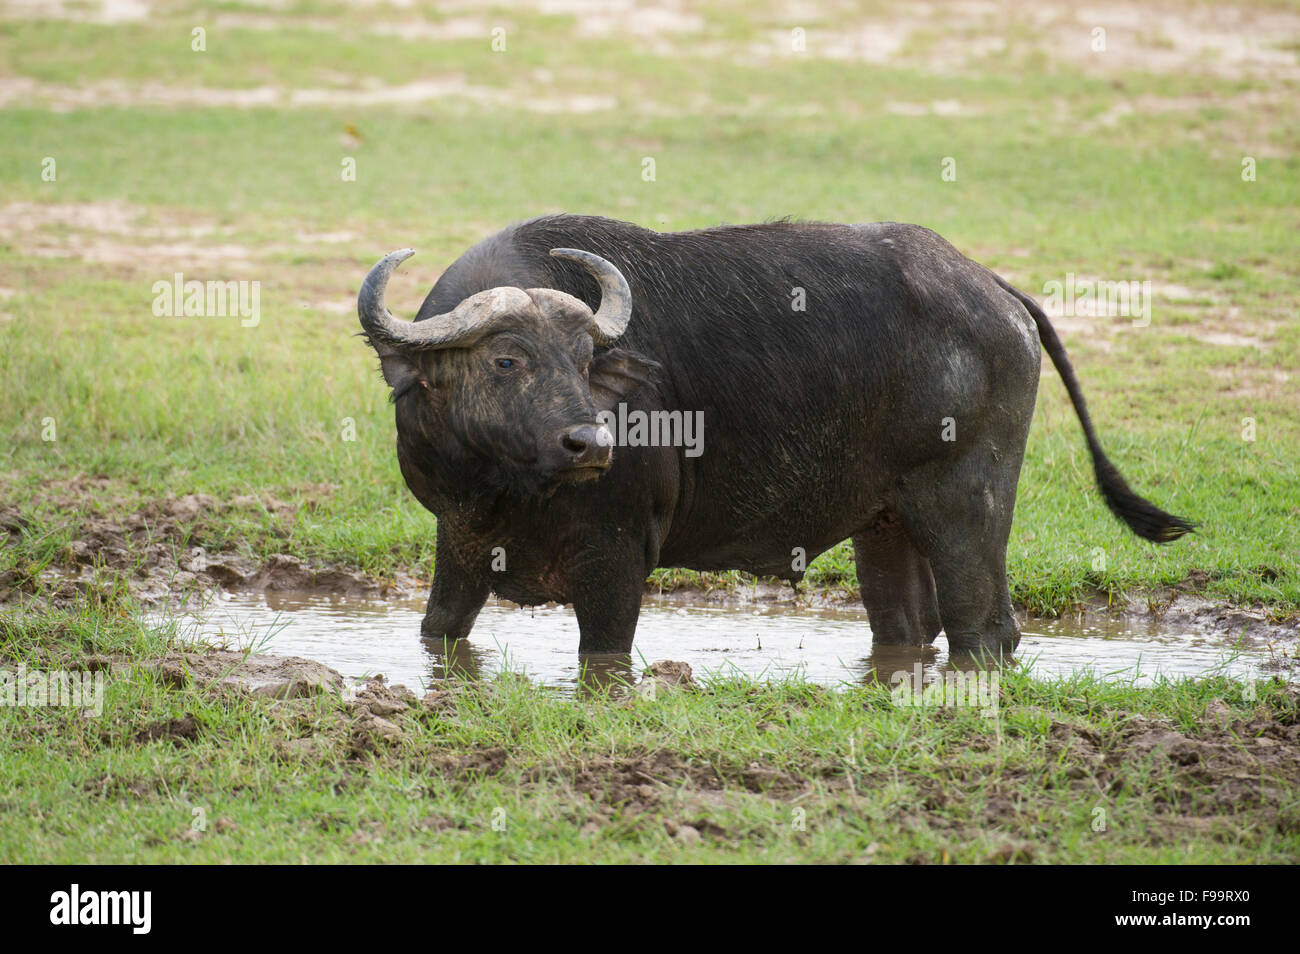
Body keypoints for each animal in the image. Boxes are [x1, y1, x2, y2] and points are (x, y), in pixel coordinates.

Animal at [357, 215, 1192, 655]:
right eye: (507, 358)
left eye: (586, 360)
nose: (590, 444)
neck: (511, 489)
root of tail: (993, 289)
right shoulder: (458, 545)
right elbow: (439, 630)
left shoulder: (618, 563)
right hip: (884, 523)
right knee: (906, 627)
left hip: (968, 506)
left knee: (986, 629)